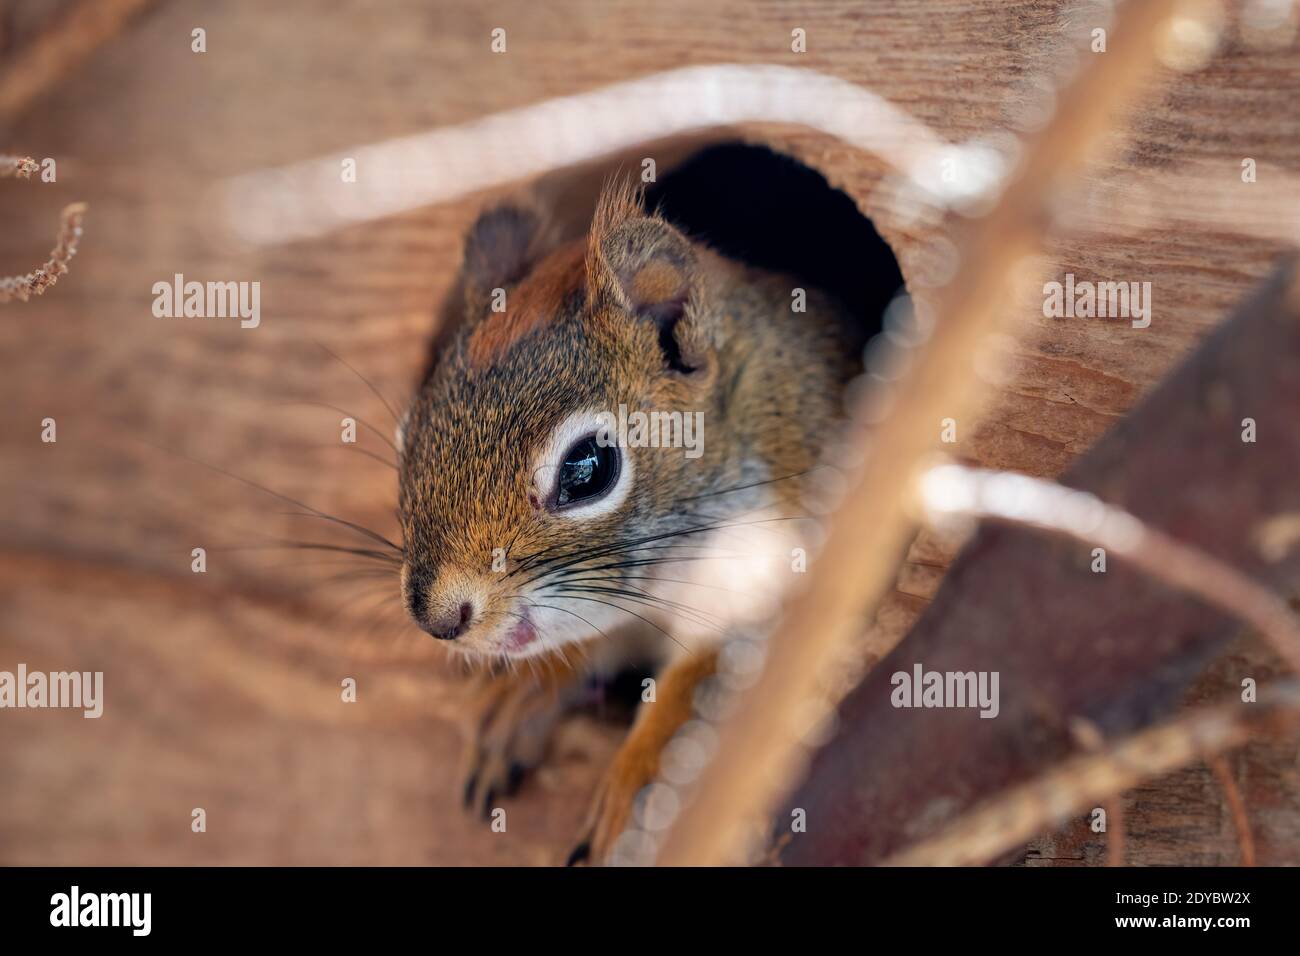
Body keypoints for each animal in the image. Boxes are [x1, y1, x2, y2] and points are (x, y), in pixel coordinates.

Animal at [397, 178, 867, 864]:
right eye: (410, 432)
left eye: (588, 467)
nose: (437, 620)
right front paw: (527, 693)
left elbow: (702, 693)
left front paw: (635, 788)